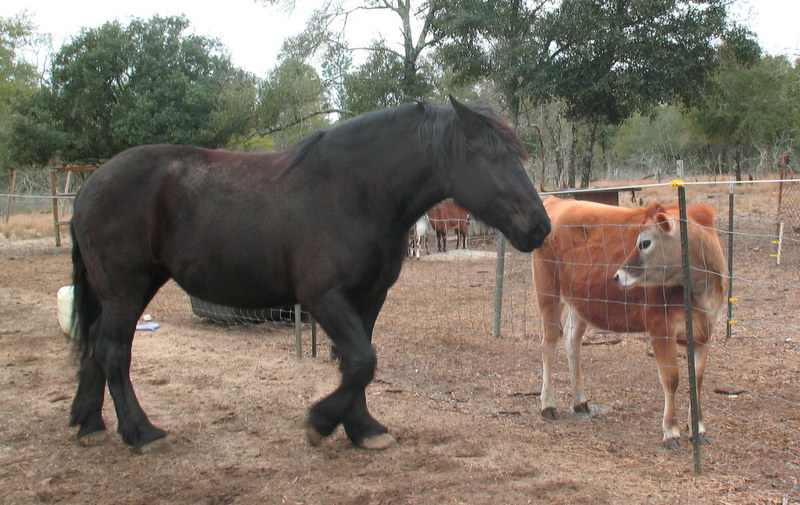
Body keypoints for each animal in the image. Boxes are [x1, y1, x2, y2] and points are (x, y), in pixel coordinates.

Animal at [68, 96, 551, 451]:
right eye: (490, 155)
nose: (540, 226)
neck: (355, 192)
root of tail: (91, 183)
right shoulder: (325, 298)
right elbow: (361, 361)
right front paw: (321, 421)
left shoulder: (368, 298)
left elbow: (356, 362)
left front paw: (363, 429)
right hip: (126, 287)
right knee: (113, 349)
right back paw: (140, 432)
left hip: (132, 286)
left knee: (94, 342)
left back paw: (88, 422)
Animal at [532, 197, 727, 448]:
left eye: (645, 243)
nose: (617, 275)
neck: (699, 291)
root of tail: (558, 200)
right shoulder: (660, 328)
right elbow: (671, 379)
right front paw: (671, 431)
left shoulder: (704, 332)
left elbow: (698, 380)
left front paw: (698, 429)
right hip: (548, 291)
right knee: (548, 344)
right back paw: (548, 404)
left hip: (581, 301)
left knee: (572, 343)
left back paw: (579, 401)